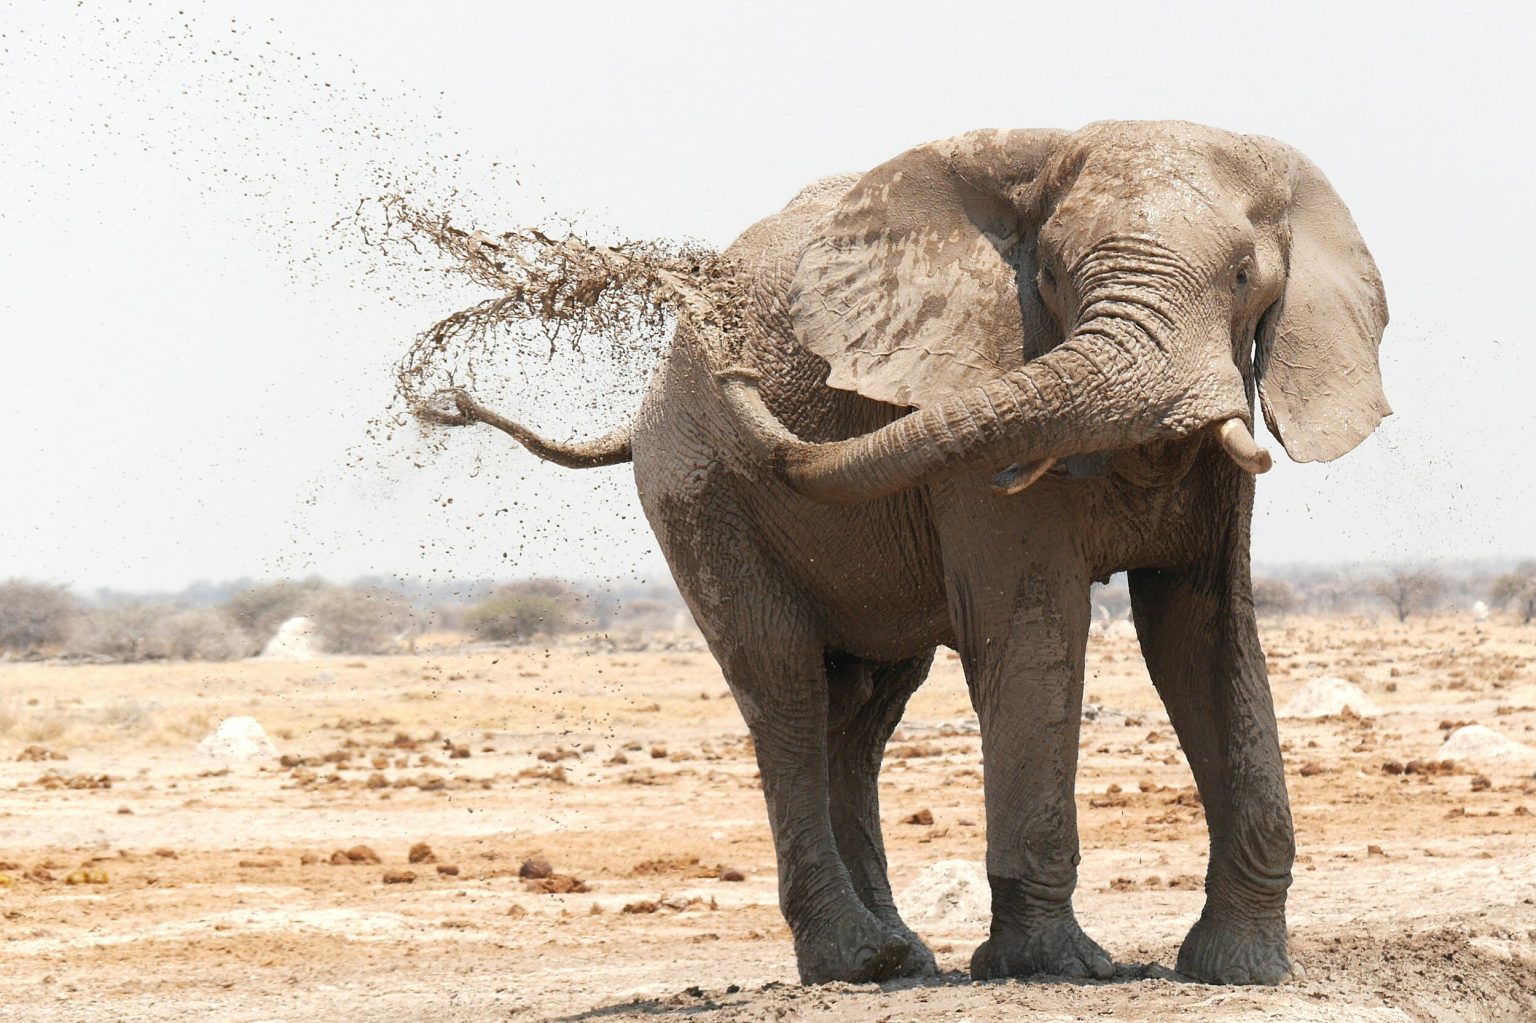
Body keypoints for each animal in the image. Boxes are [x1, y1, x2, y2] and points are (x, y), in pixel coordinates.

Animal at [444, 121, 1389, 986]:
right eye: (1050, 278)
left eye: (1244, 278)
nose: (737, 368)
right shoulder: (975, 406)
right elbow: (1037, 627)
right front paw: (1051, 966)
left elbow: (1203, 635)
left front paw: (1242, 968)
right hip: (697, 488)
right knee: (784, 687)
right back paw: (859, 960)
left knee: (861, 711)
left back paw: (901, 957)